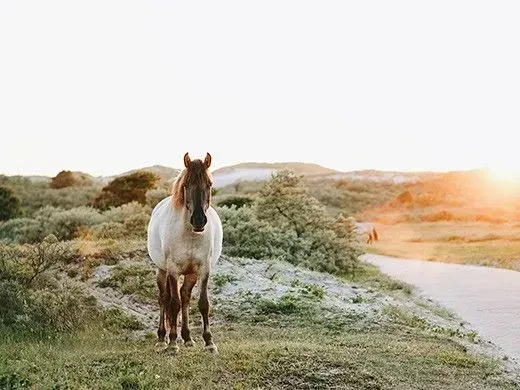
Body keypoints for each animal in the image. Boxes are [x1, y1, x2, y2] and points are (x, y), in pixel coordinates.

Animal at [147, 152, 222, 354]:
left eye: (209, 184)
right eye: (186, 185)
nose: (198, 221)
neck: (190, 234)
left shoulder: (203, 270)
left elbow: (203, 304)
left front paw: (209, 342)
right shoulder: (173, 270)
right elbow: (173, 304)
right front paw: (172, 343)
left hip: (190, 274)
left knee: (185, 297)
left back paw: (187, 338)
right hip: (162, 270)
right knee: (164, 298)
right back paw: (162, 338)